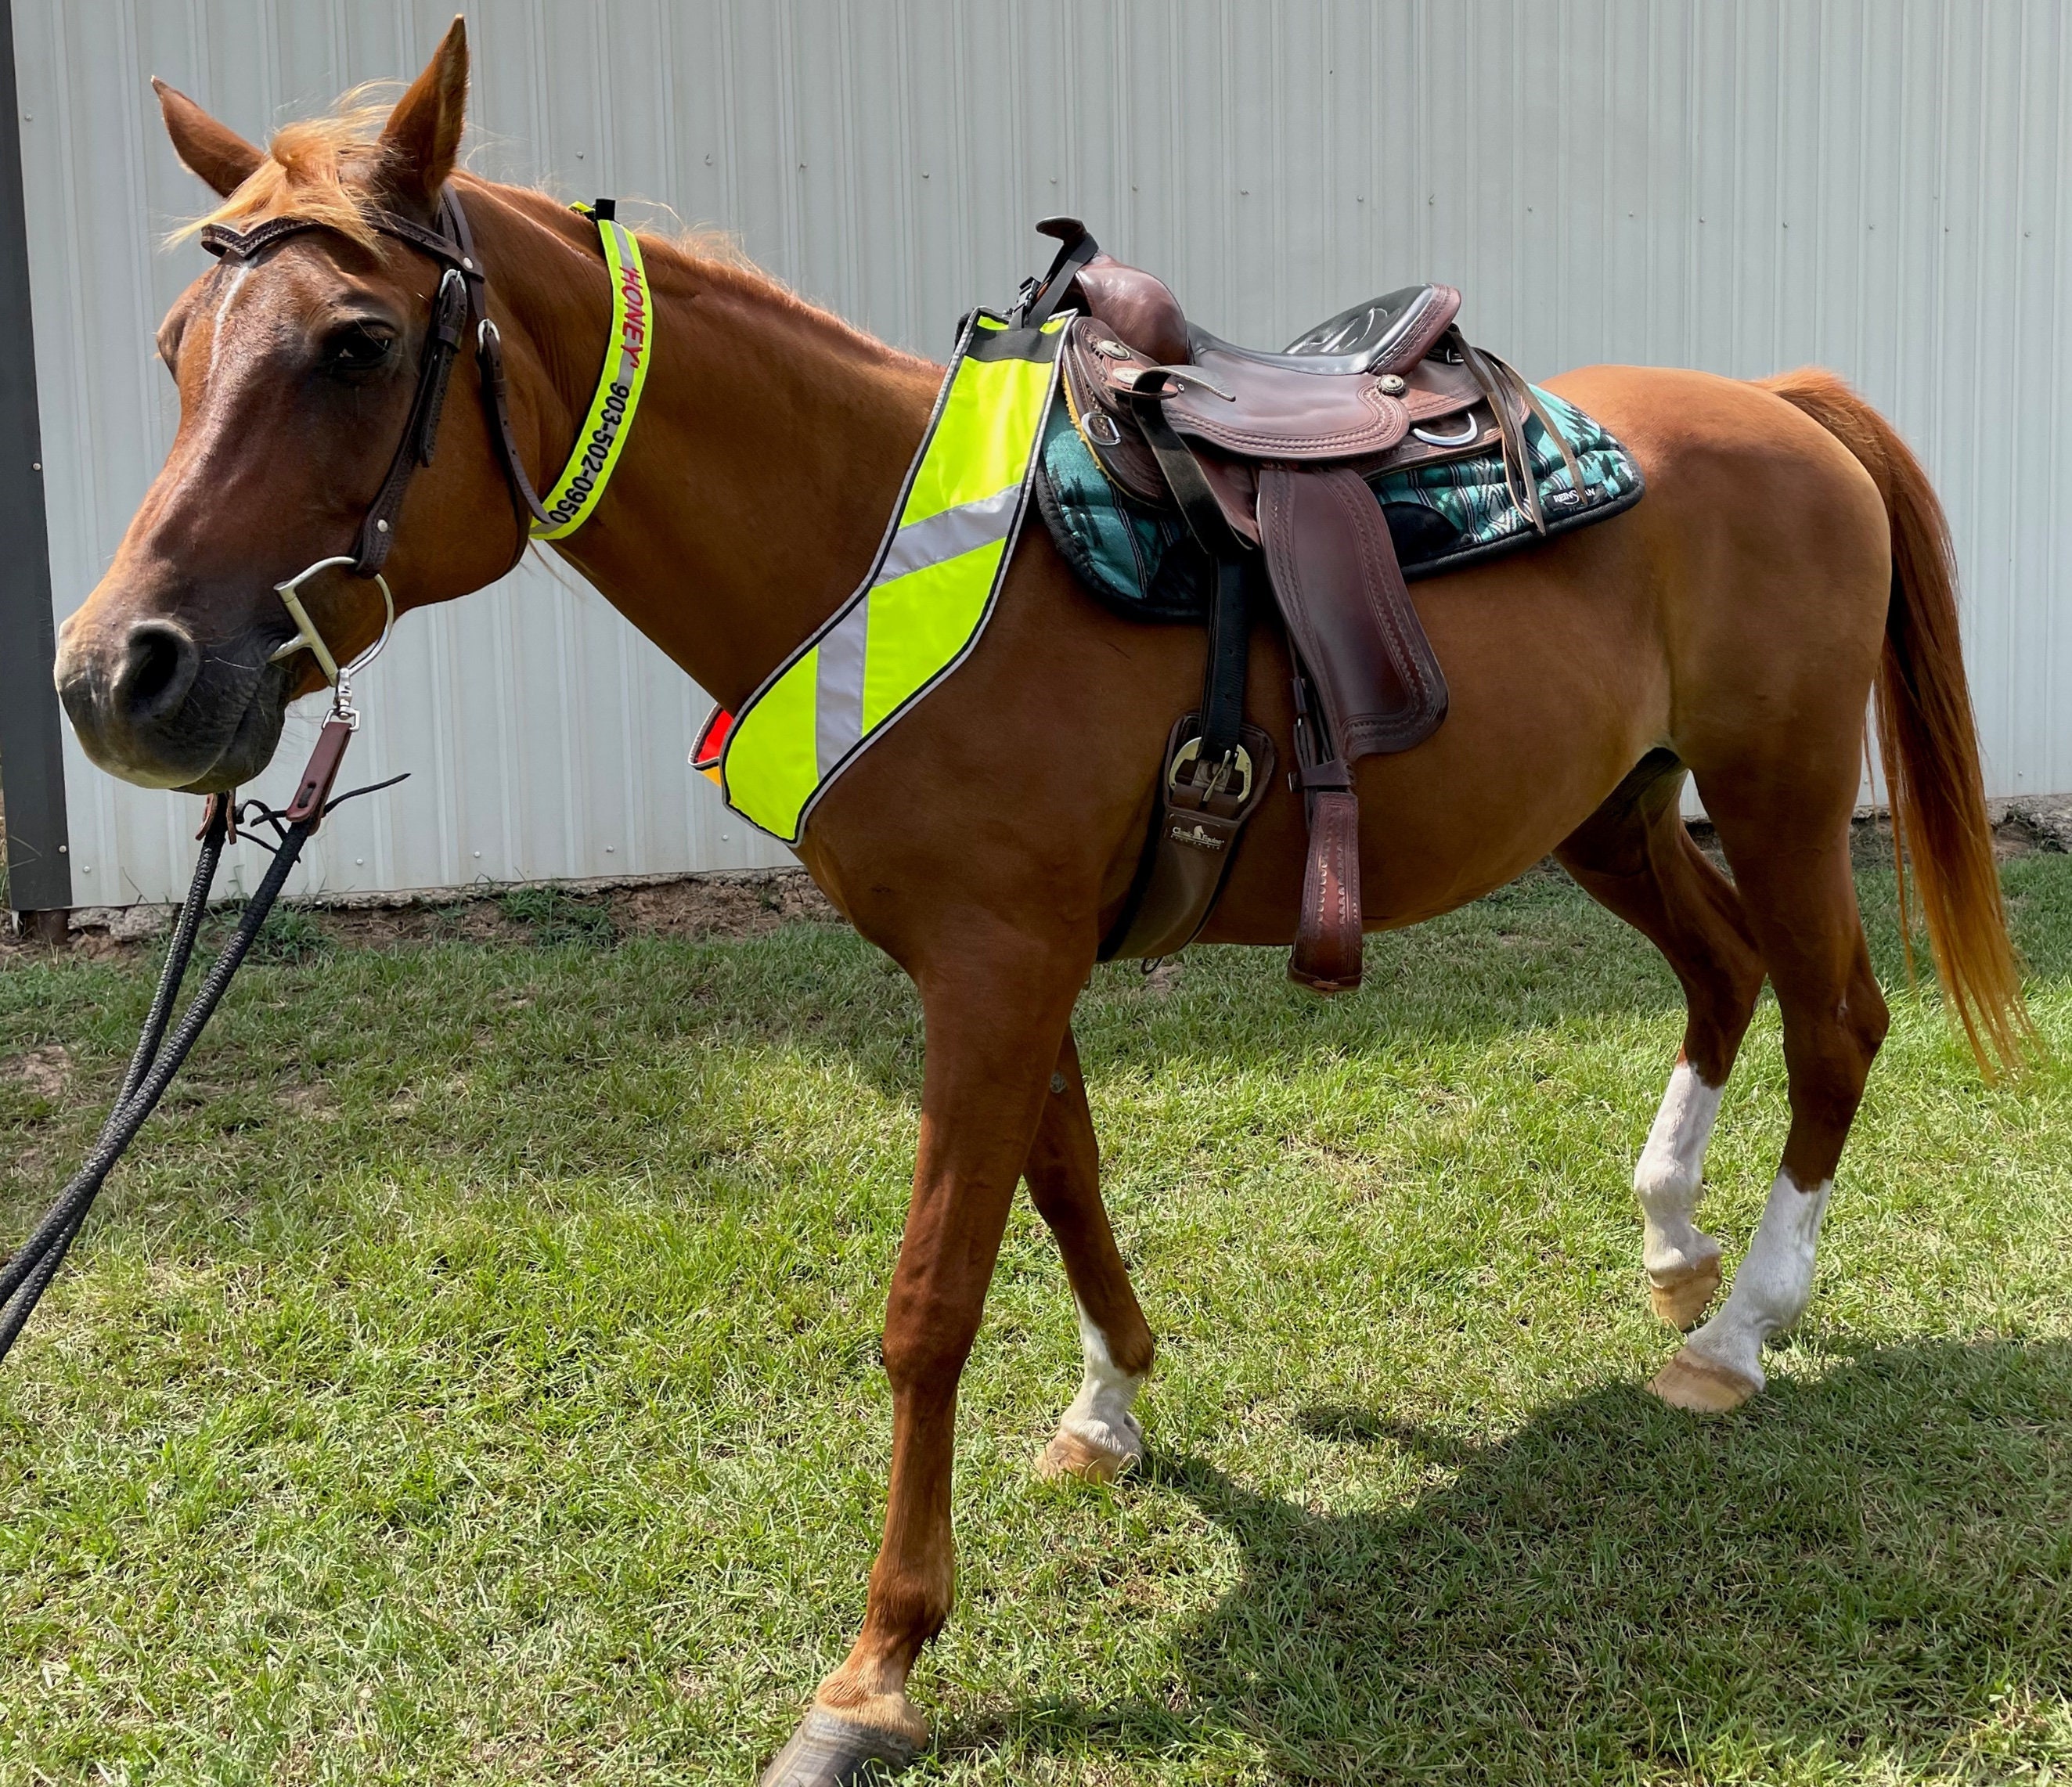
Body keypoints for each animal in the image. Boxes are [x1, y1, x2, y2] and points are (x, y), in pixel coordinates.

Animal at [51, 22, 2030, 1782]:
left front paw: (875, 1665)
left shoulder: (991, 969)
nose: (119, 679)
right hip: (1615, 811)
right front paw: (1110, 1407)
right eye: (174, 344)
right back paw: (1671, 1241)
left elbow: (933, 1293)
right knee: (1722, 979)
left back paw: (1741, 1331)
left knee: (1836, 1016)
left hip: (1781, 793)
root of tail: (1782, 409)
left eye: (358, 343)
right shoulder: (1011, 962)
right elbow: (1065, 1181)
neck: (876, 549)